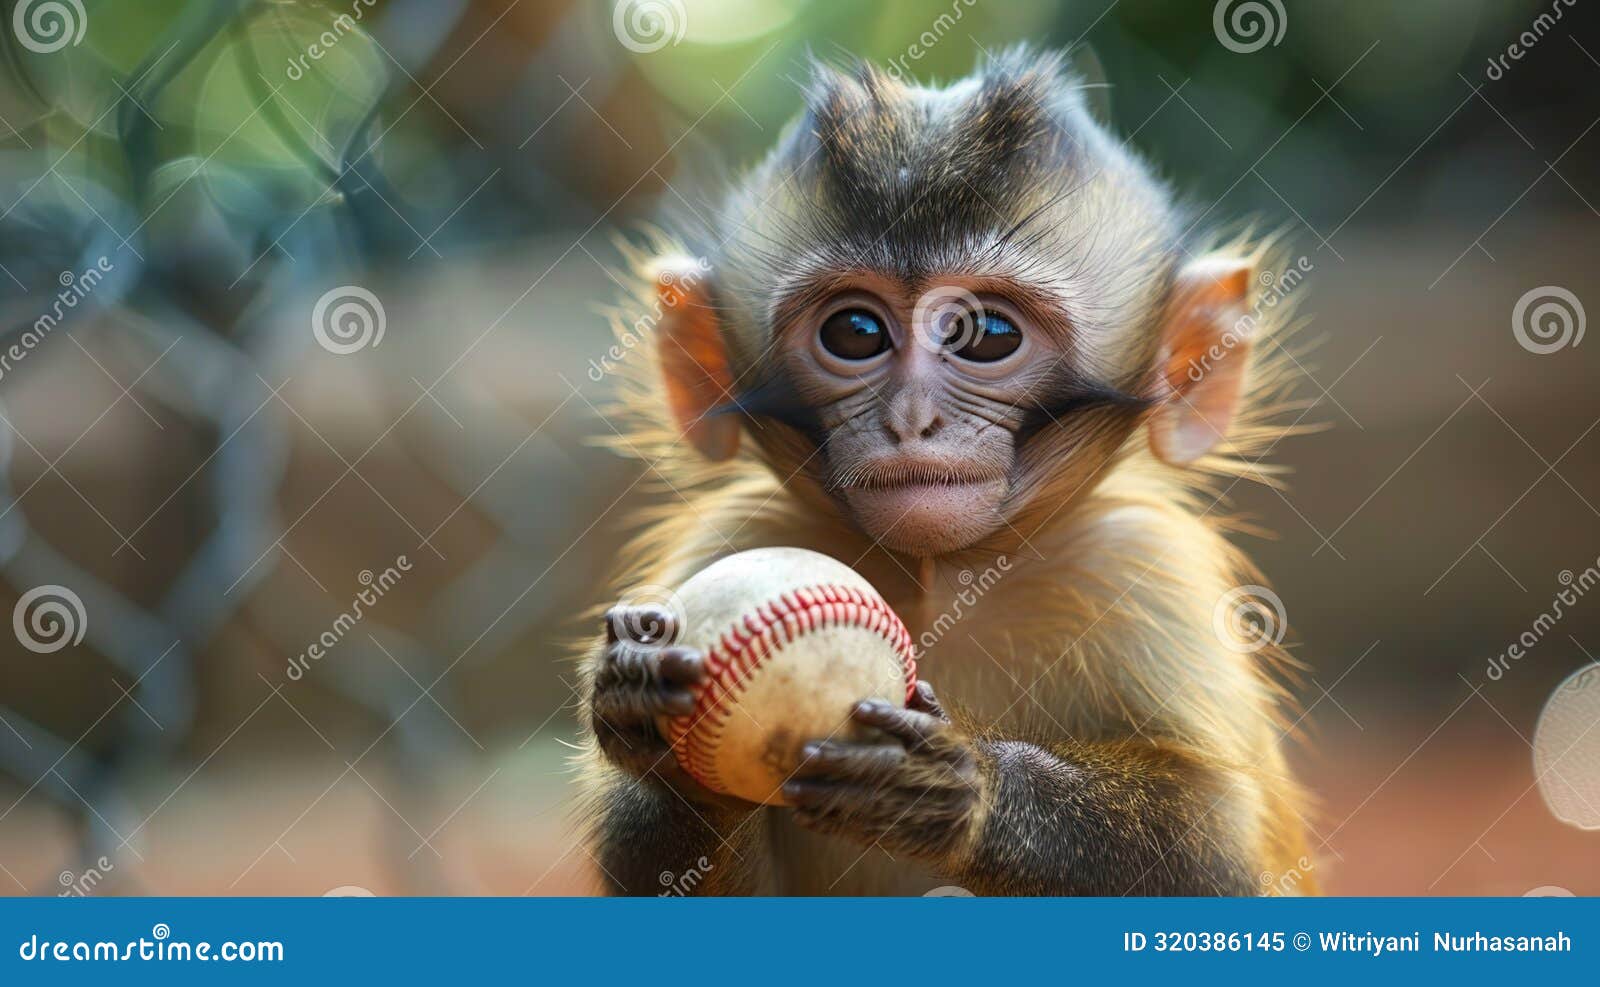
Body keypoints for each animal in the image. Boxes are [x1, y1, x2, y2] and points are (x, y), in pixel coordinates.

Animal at [575, 47, 1316, 897]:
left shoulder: (1137, 561)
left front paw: (961, 787)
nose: (911, 419)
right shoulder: (738, 532)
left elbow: (1219, 852)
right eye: (855, 331)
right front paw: (646, 710)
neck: (943, 577)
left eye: (986, 333)